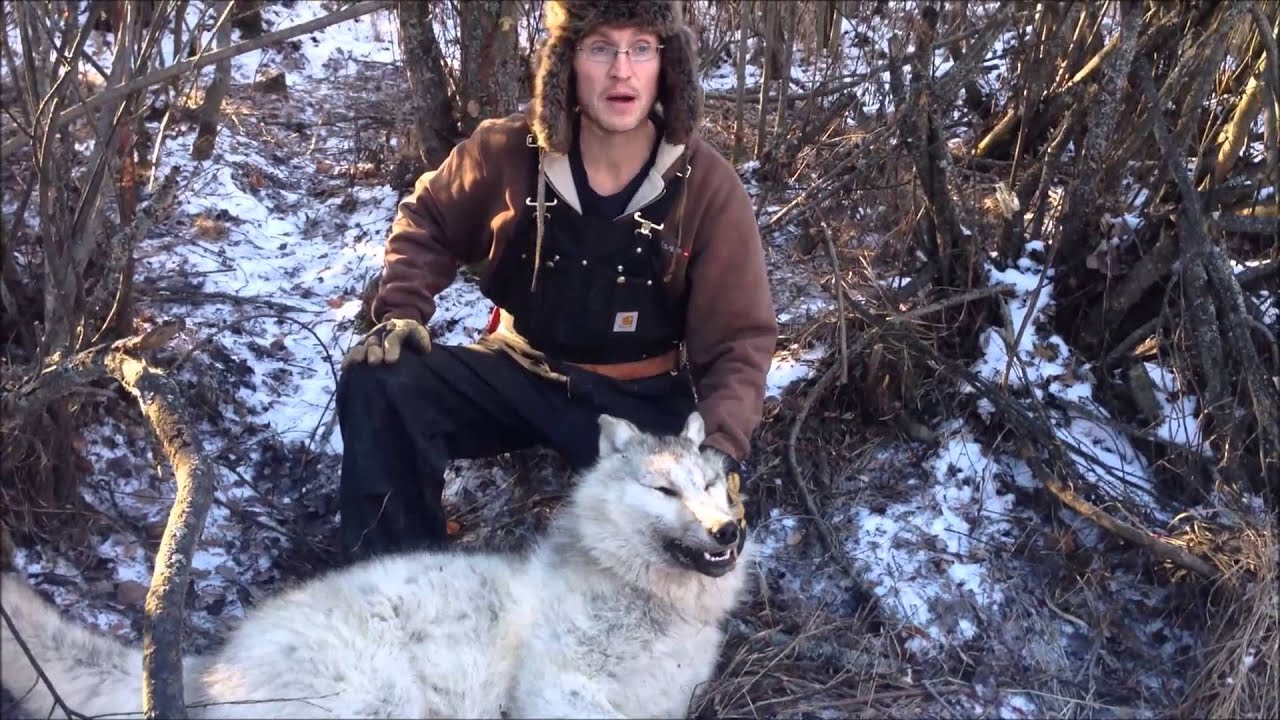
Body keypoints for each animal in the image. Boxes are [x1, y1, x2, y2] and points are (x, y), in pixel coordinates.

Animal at [1, 411, 751, 719]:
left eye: (713, 485)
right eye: (665, 491)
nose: (730, 530)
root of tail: (213, 667)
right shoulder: (559, 691)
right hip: (382, 699)